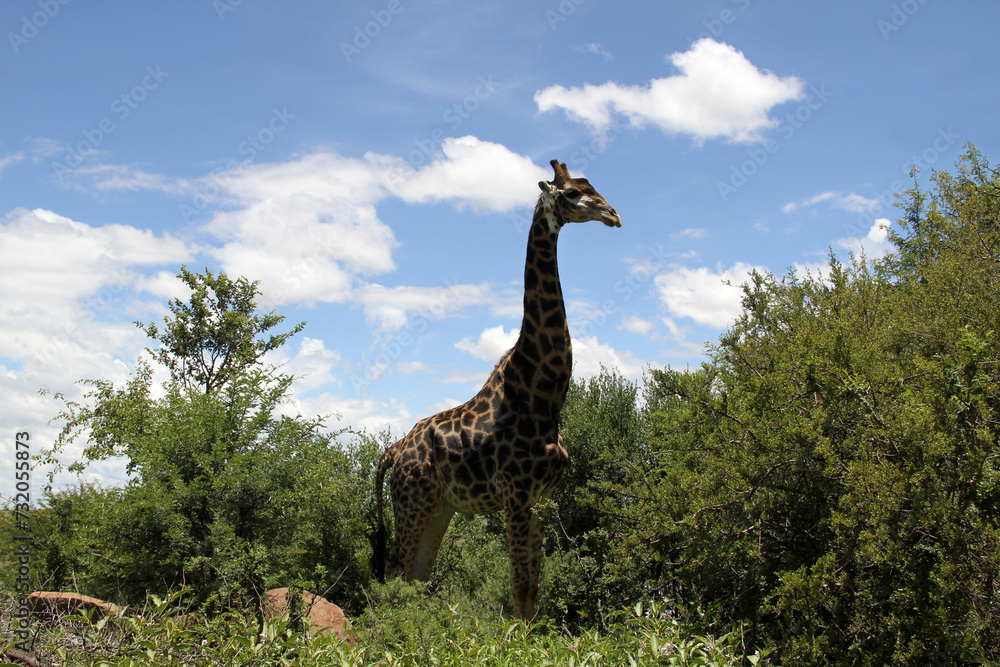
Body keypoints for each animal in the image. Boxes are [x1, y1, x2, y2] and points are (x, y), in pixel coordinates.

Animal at [372, 159, 621, 621]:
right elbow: (519, 585)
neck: (543, 395)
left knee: (416, 575)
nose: (613, 215)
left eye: (593, 186)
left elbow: (534, 585)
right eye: (572, 193)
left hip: (440, 505)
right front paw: (516, 637)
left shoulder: (542, 495)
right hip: (411, 500)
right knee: (395, 574)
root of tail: (394, 451)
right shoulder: (516, 494)